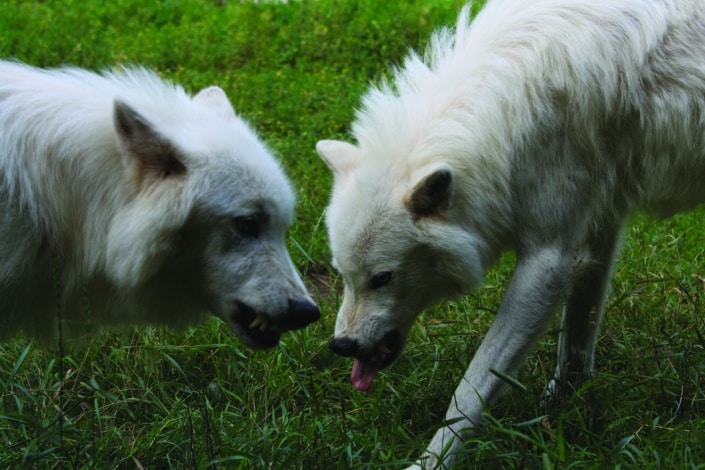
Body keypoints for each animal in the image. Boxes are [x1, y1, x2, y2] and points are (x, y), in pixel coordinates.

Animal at [316, 0, 705, 467]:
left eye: (382, 278)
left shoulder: (549, 260)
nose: (342, 345)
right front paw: (561, 413)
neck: (509, 106)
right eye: (343, 276)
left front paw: (431, 461)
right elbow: (577, 338)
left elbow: (470, 387)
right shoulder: (596, 228)